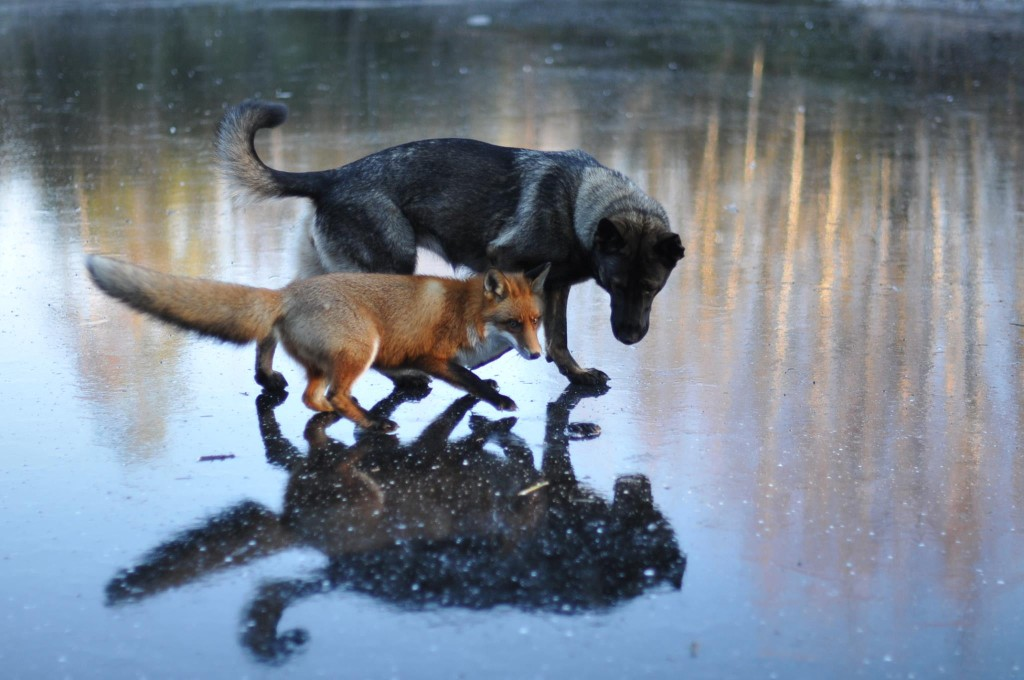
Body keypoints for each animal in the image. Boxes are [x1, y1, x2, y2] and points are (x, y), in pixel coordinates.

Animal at [85, 255, 550, 431]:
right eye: (512, 323)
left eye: (536, 321)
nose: (537, 354)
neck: (466, 312)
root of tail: (287, 292)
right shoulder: (429, 353)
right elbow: (468, 380)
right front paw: (498, 400)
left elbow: (468, 380)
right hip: (362, 346)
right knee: (335, 393)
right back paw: (371, 422)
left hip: (330, 360)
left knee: (312, 396)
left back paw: (328, 409)